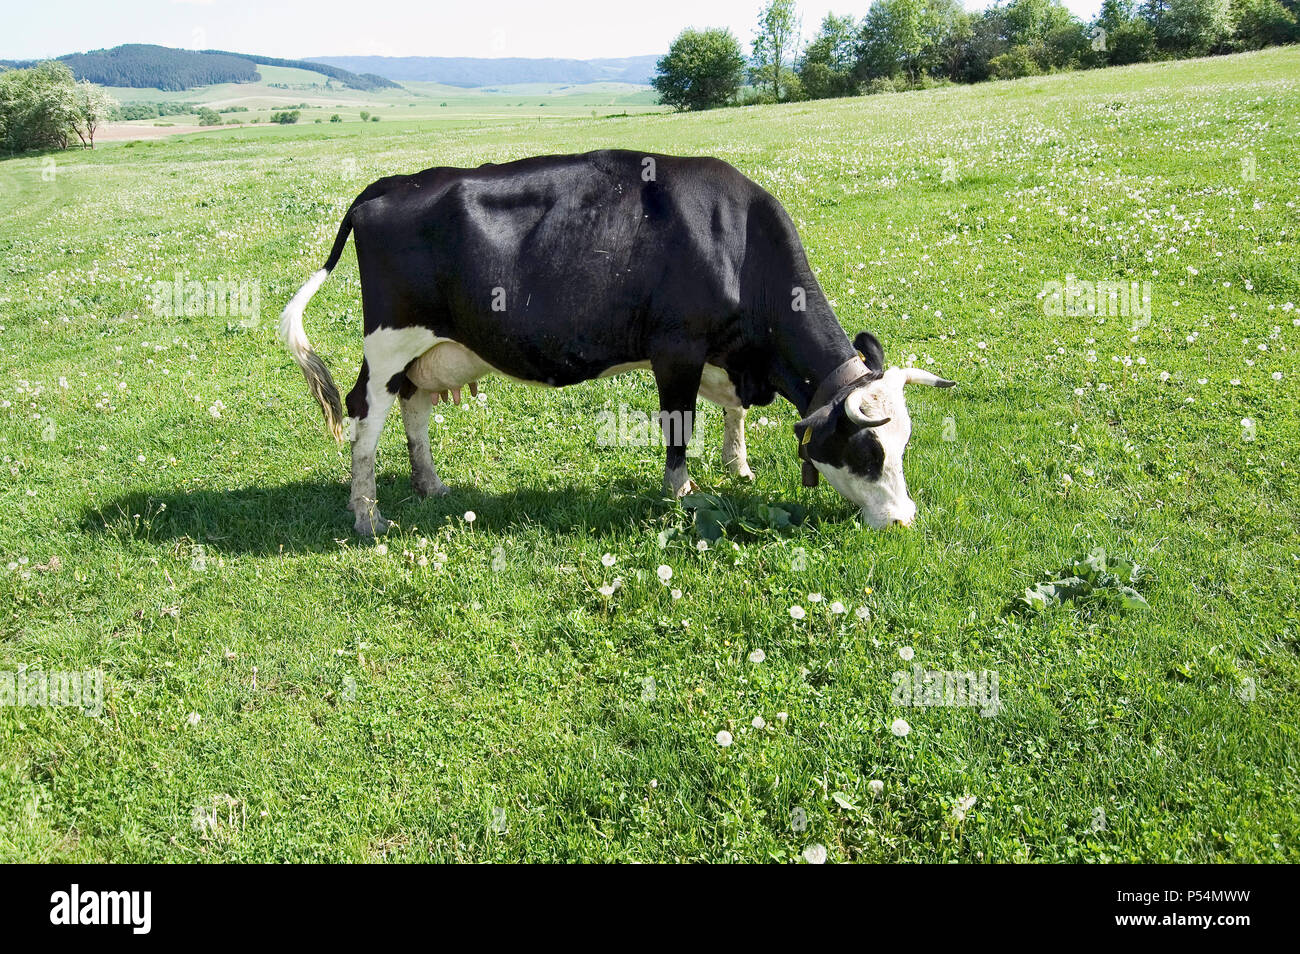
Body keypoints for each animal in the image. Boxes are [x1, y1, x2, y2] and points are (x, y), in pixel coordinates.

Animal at [279, 149, 956, 536]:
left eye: (904, 444)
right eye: (868, 451)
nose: (903, 520)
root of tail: (387, 185)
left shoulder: (724, 352)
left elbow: (733, 413)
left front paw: (738, 465)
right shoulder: (678, 346)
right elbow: (680, 424)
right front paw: (681, 494)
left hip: (431, 351)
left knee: (414, 407)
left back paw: (430, 485)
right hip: (389, 342)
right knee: (366, 416)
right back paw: (367, 515)